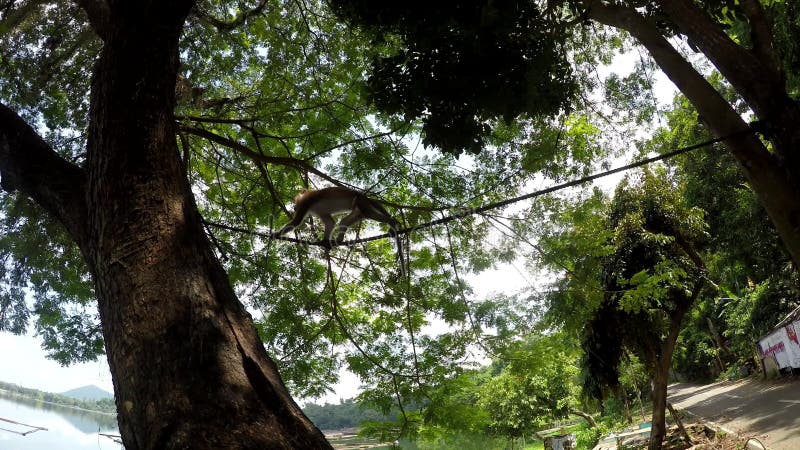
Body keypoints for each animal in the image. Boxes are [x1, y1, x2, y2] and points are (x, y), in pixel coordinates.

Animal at [273, 186, 406, 275]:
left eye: (295, 204)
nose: (294, 207)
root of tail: (364, 196)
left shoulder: (306, 203)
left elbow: (296, 222)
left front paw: (276, 234)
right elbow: (330, 222)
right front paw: (325, 242)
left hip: (361, 202)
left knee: (370, 213)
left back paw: (392, 222)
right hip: (358, 210)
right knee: (344, 221)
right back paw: (338, 240)